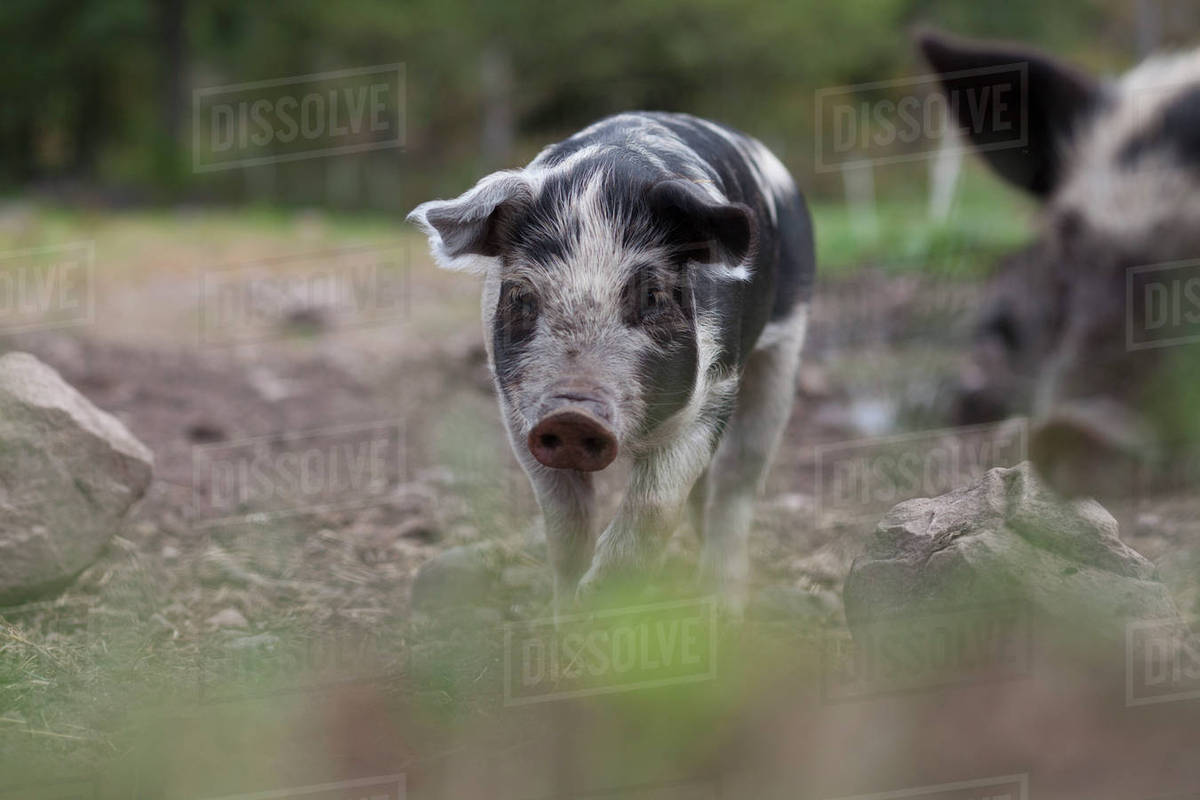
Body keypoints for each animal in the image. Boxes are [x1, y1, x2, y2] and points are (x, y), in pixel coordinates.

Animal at [408, 112, 814, 612]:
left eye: (653, 295)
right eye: (521, 295)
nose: (571, 414)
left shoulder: (715, 390)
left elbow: (656, 504)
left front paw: (602, 597)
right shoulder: (518, 411)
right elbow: (564, 524)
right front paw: (571, 614)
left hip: (785, 346)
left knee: (740, 474)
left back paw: (724, 604)